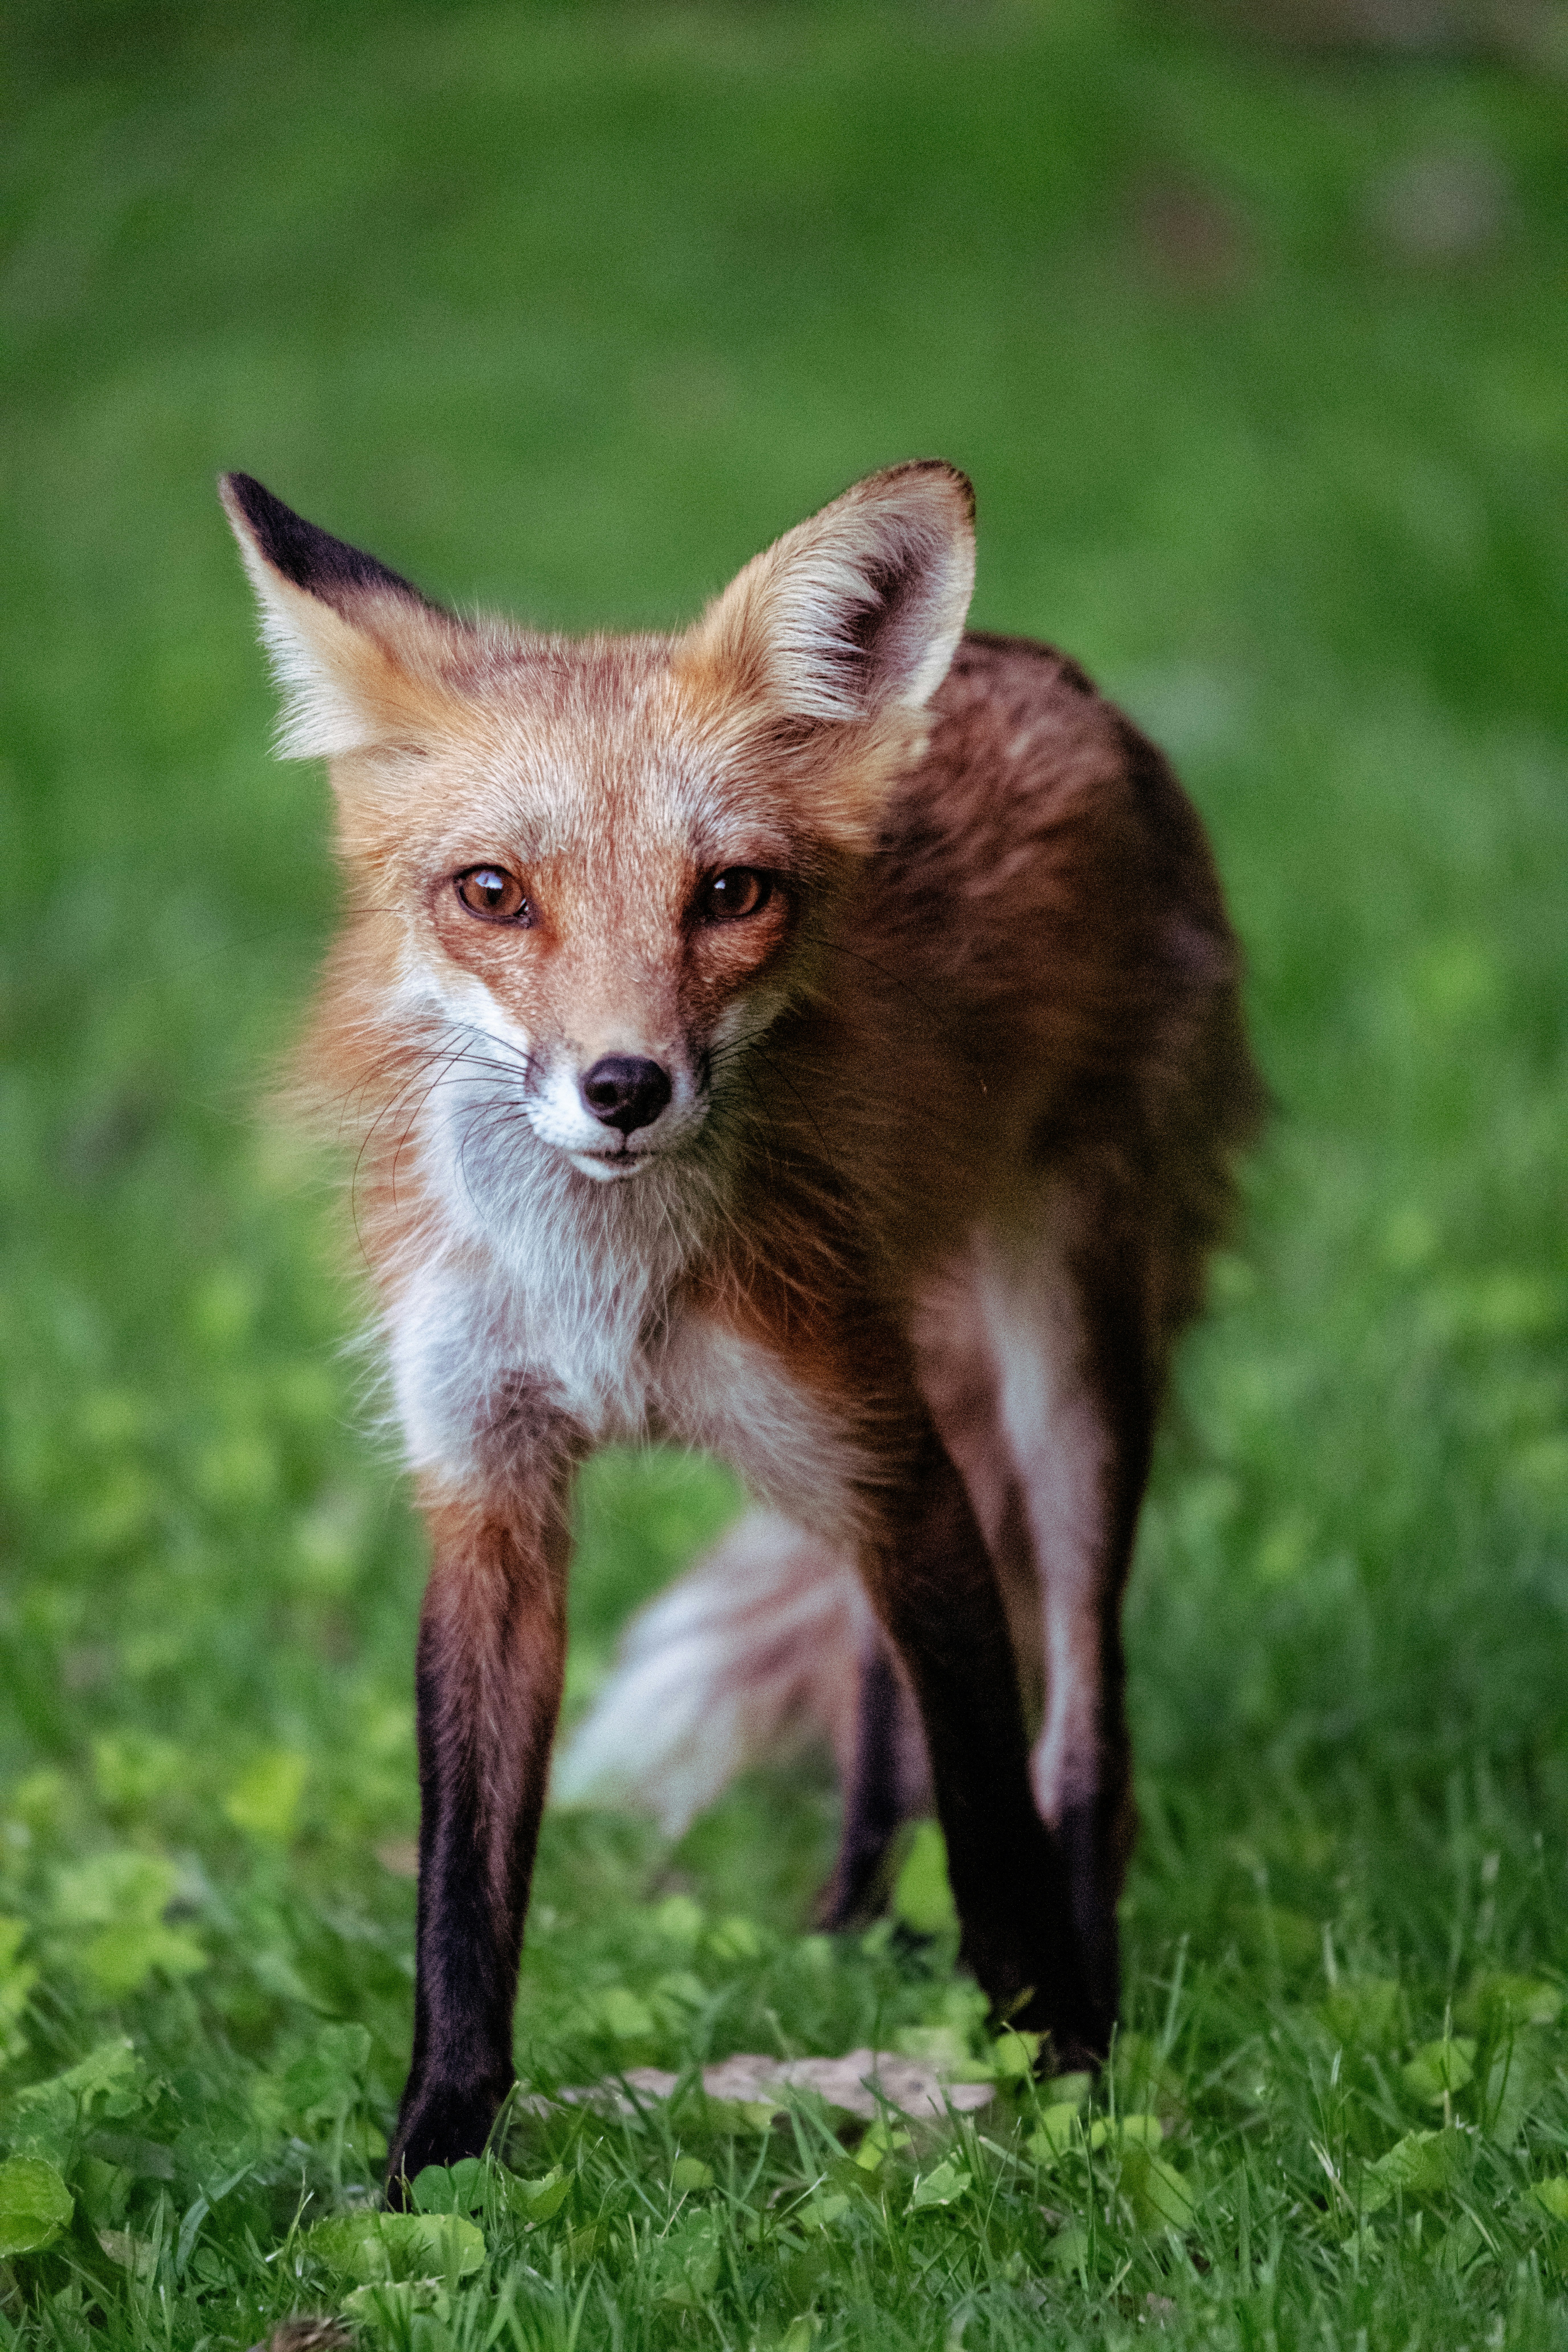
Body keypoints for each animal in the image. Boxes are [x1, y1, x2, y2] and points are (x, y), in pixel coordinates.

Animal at [221, 459, 1262, 2186]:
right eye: (493, 894)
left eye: (731, 895)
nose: (625, 1086)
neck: (607, 1300)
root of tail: (1053, 674)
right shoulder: (491, 1491)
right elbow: (460, 1903)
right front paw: (427, 2172)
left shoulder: (878, 1459)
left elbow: (994, 1817)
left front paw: (1052, 2074)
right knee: (879, 1689)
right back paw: (850, 1932)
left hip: (1065, 1364)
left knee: (1079, 1733)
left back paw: (1070, 1977)